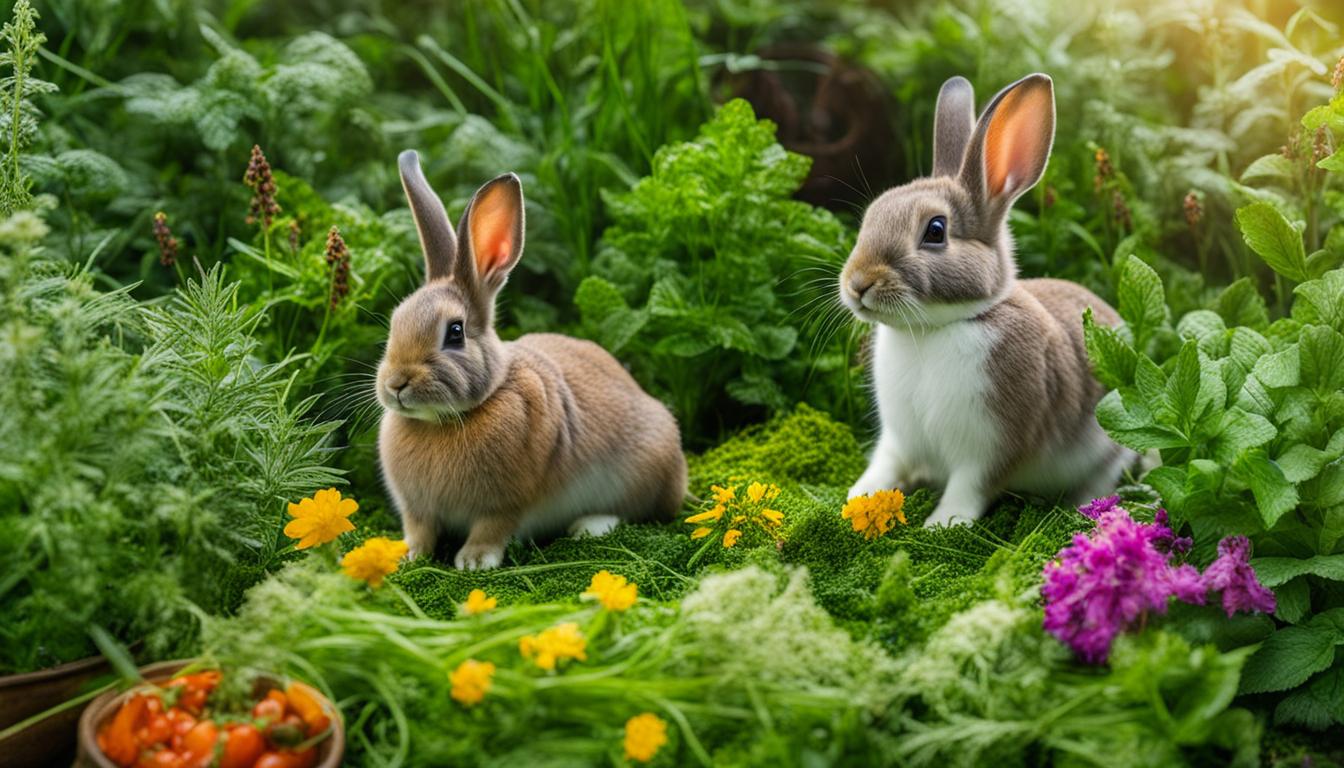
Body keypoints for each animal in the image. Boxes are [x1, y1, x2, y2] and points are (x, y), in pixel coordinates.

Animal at [376, 151, 688, 569]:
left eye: (455, 332)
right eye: (395, 321)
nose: (395, 384)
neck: (445, 421)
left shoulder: (506, 503)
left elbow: (491, 529)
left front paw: (474, 561)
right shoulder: (418, 510)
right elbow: (420, 531)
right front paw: (406, 556)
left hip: (643, 469)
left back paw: (589, 525)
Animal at [838, 74, 1133, 527]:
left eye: (936, 231)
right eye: (872, 215)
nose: (858, 284)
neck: (935, 328)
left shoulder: (993, 445)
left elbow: (970, 487)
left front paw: (941, 525)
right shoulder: (899, 439)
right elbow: (885, 467)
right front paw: (857, 498)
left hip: (1108, 448)